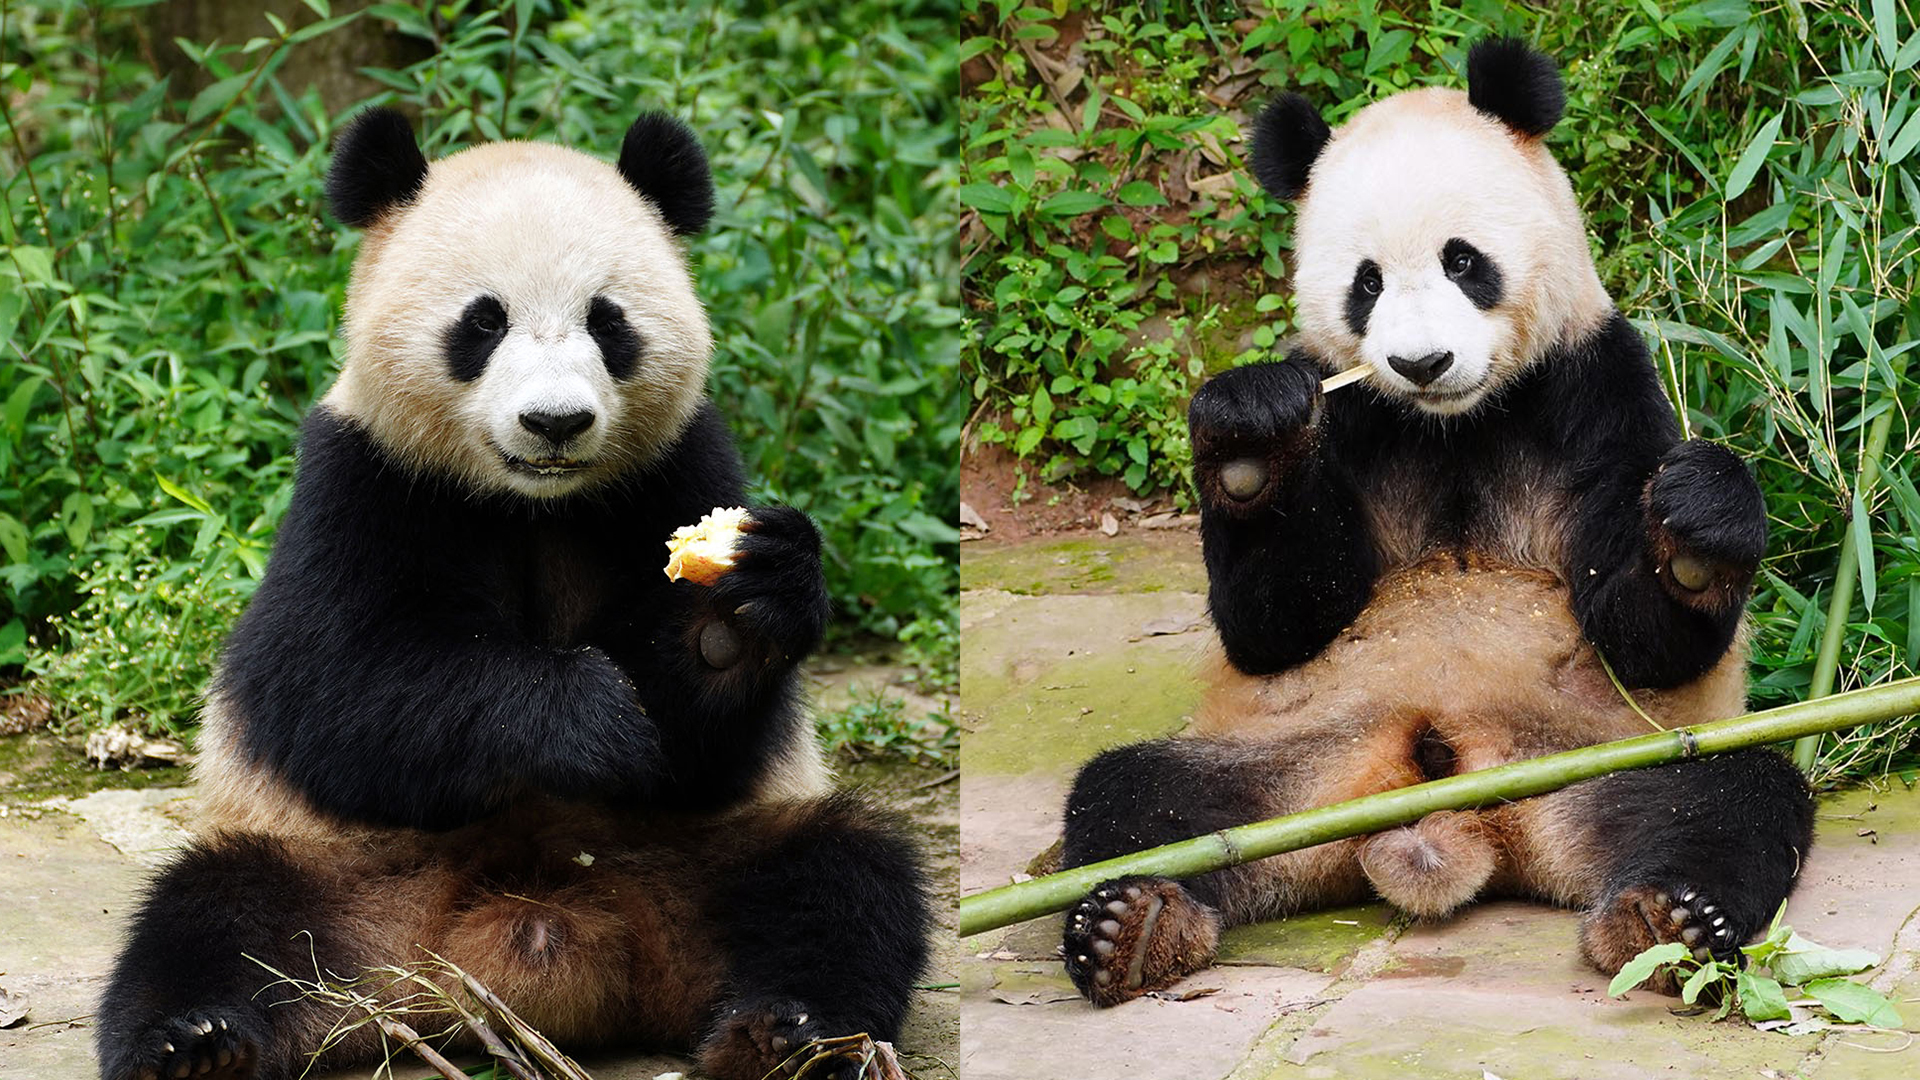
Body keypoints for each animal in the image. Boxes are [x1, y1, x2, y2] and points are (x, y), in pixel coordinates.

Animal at [96, 108, 929, 1080]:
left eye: (608, 322)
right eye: (483, 321)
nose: (555, 423)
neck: (530, 501)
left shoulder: (677, 461)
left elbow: (712, 749)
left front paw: (735, 612)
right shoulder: (361, 475)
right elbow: (333, 689)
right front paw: (589, 718)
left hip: (708, 852)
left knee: (841, 879)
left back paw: (785, 1033)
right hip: (322, 863)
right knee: (213, 920)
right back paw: (197, 1044)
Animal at [1056, 39, 1814, 1007]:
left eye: (1463, 261)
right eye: (1366, 283)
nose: (1421, 362)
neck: (1456, 423)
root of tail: (1452, 823)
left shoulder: (1595, 384)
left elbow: (1642, 640)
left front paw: (1695, 526)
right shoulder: (1349, 414)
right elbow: (1275, 624)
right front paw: (1249, 441)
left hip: (1605, 757)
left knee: (1732, 797)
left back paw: (1663, 921)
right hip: (1288, 770)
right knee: (1137, 798)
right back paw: (1136, 924)